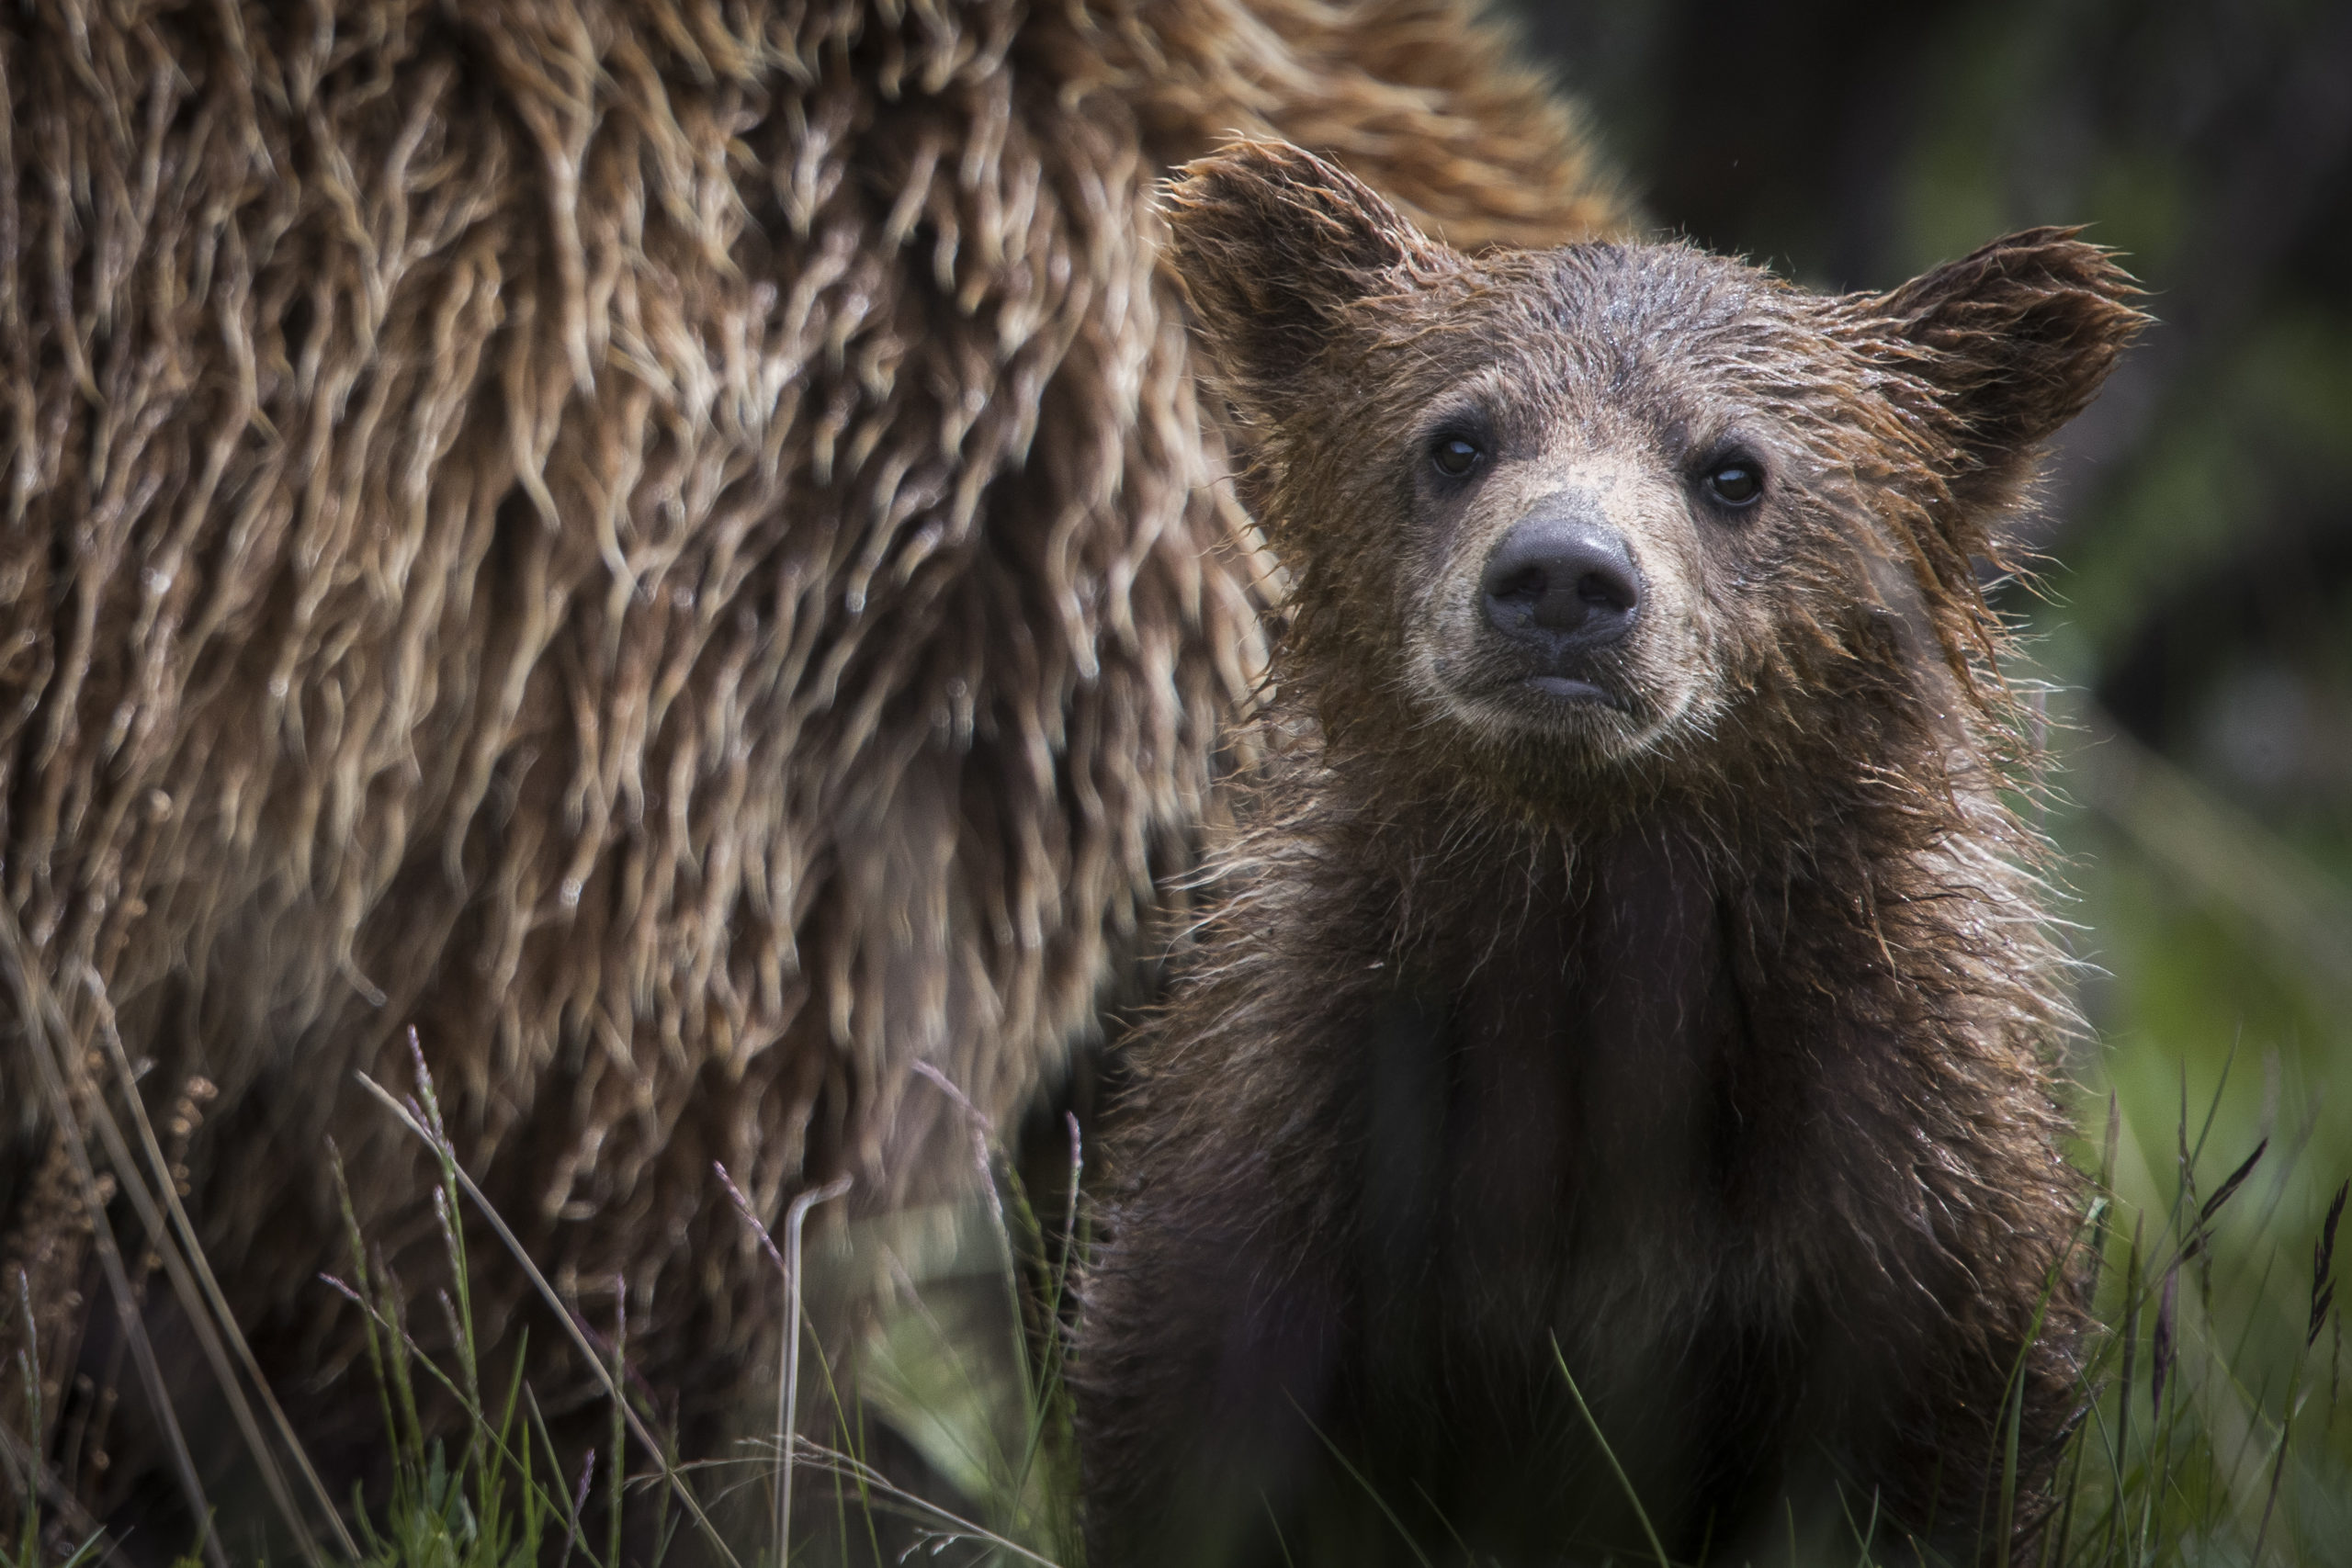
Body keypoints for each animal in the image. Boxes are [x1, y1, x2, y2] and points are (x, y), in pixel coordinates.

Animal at [1074, 140, 2144, 1567]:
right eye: (1458, 438)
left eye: (1733, 467)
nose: (1563, 579)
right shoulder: (1303, 1144)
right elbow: (1192, 1424)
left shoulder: (1902, 1192)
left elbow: (1936, 1450)